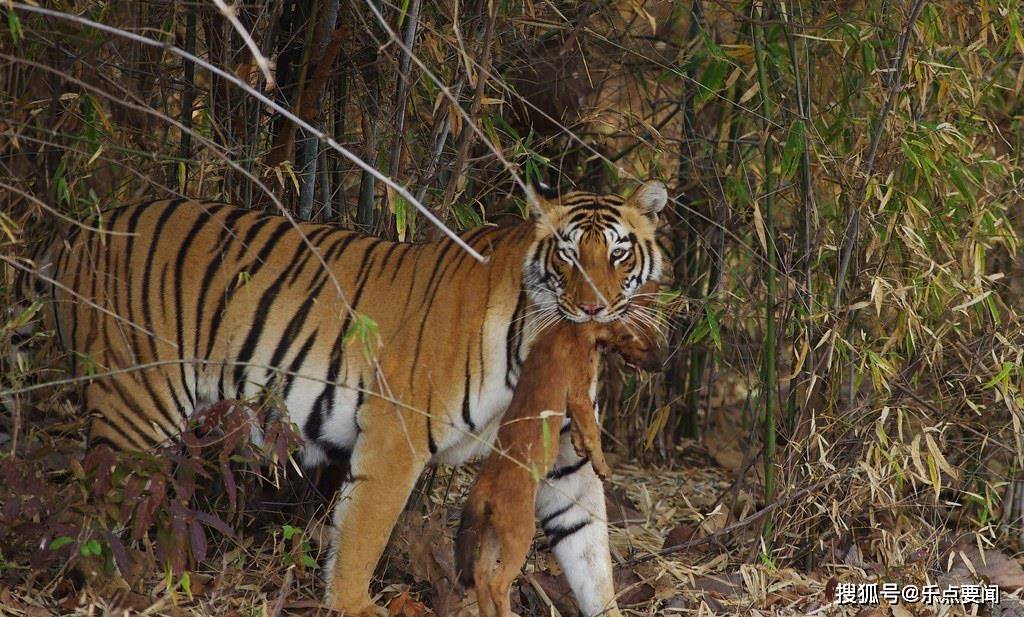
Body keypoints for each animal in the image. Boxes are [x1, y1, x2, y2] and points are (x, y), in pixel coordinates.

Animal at [21, 179, 669, 616]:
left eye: (618, 252)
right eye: (567, 252)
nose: (594, 308)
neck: (536, 330)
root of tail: (76, 230)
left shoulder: (564, 460)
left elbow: (591, 553)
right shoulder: (396, 432)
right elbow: (362, 534)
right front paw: (352, 606)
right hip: (135, 405)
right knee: (93, 508)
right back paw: (116, 591)